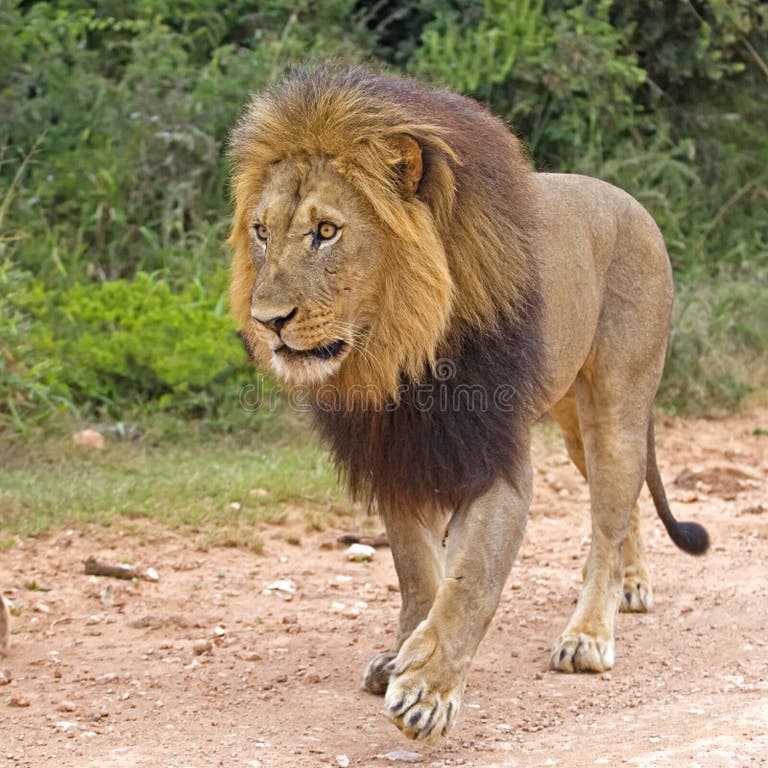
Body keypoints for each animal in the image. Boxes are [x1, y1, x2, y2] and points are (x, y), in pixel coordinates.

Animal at [228, 63, 709, 743]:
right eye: (262, 232)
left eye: (326, 232)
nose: (266, 321)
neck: (403, 349)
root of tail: (631, 201)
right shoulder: (401, 455)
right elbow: (418, 571)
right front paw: (401, 654)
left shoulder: (494, 457)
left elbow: (472, 578)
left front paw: (428, 691)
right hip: (573, 424)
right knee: (626, 500)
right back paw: (633, 583)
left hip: (616, 404)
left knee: (608, 516)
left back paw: (591, 633)